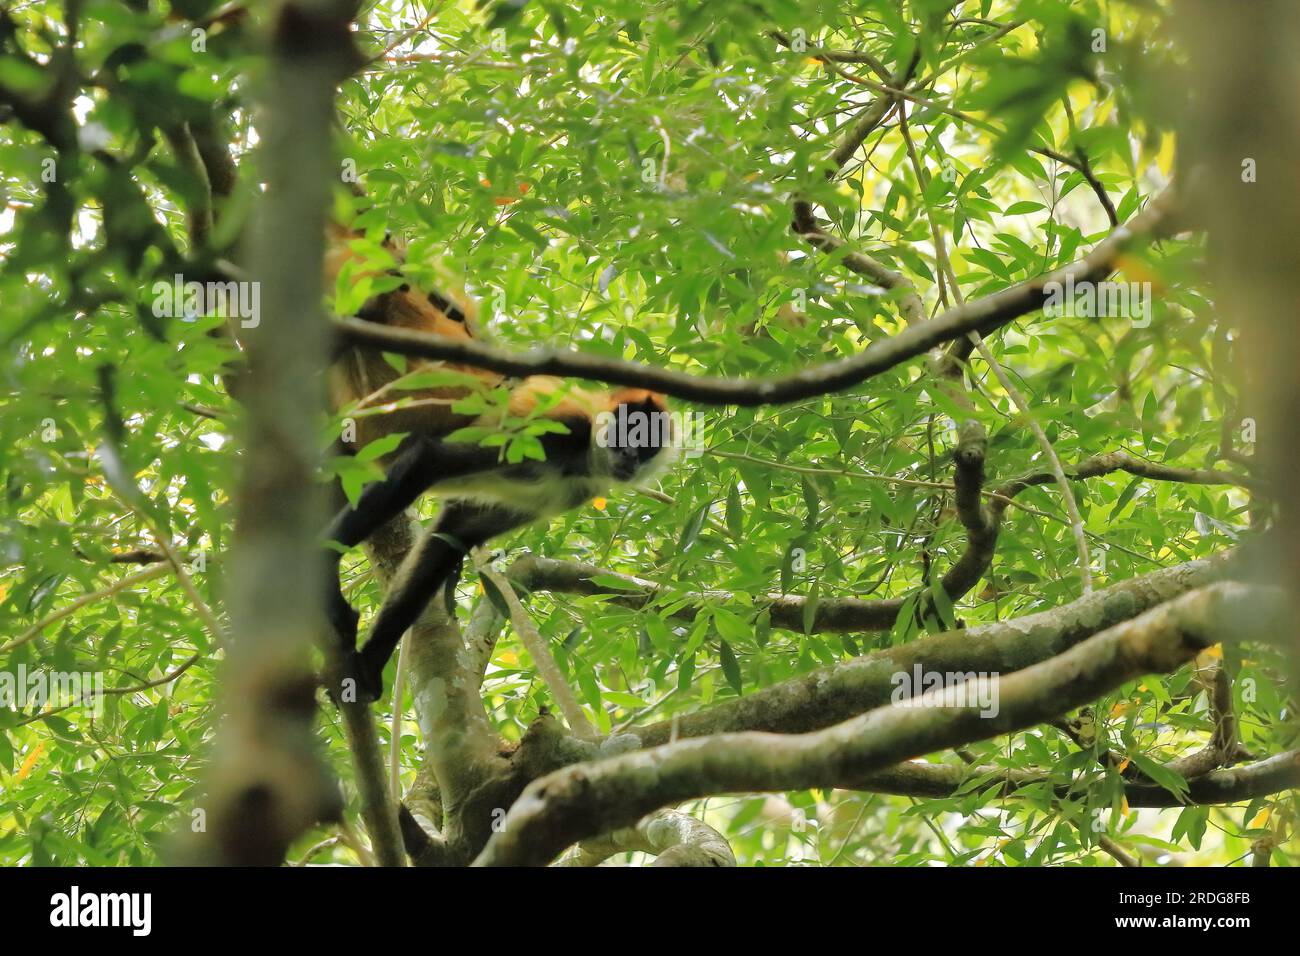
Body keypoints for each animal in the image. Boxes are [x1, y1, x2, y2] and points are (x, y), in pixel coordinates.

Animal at [322, 225, 676, 703]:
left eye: (646, 445)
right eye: (627, 433)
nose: (630, 458)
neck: (583, 459)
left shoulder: (575, 490)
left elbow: (454, 532)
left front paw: (370, 662)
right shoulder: (557, 427)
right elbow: (430, 459)